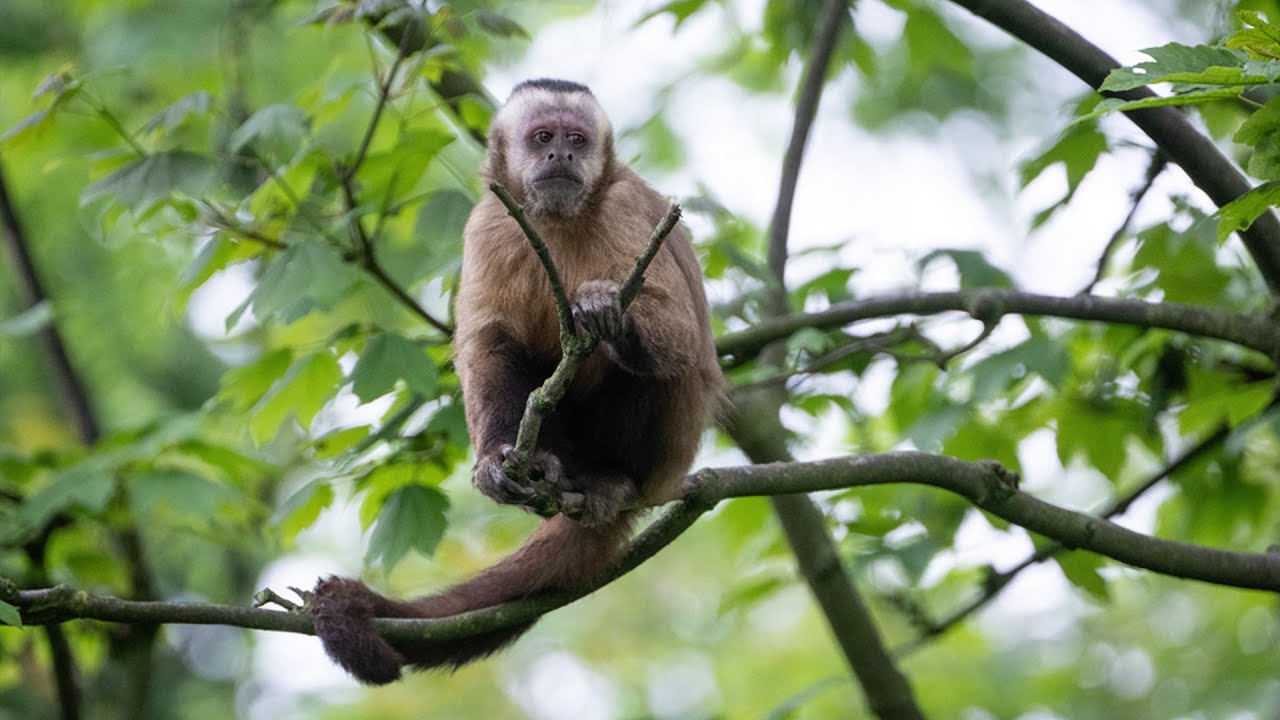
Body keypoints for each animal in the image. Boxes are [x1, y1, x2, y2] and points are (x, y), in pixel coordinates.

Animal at [309, 78, 724, 685]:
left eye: (577, 139)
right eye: (543, 138)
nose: (562, 157)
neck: (555, 220)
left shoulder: (625, 207)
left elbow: (678, 332)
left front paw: (607, 312)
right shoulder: (488, 220)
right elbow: (489, 347)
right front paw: (492, 462)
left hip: (667, 448)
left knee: (661, 369)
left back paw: (609, 479)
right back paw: (543, 470)